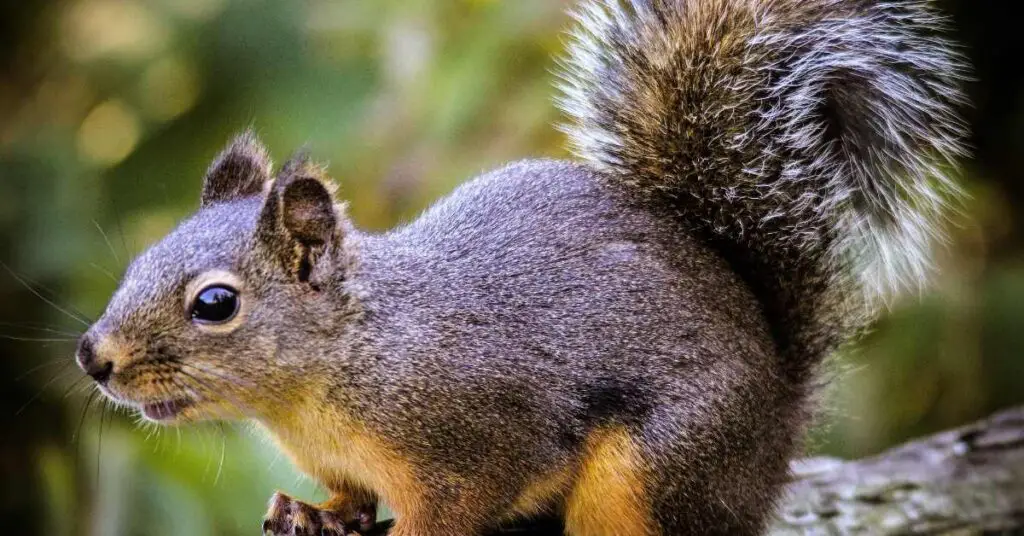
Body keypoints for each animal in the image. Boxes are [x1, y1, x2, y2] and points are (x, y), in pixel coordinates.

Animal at [74, 0, 968, 535]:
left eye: (215, 304)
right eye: (143, 257)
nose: (94, 357)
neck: (342, 364)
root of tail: (782, 405)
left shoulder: (477, 438)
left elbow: (460, 505)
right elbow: (348, 496)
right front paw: (316, 512)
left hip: (659, 469)